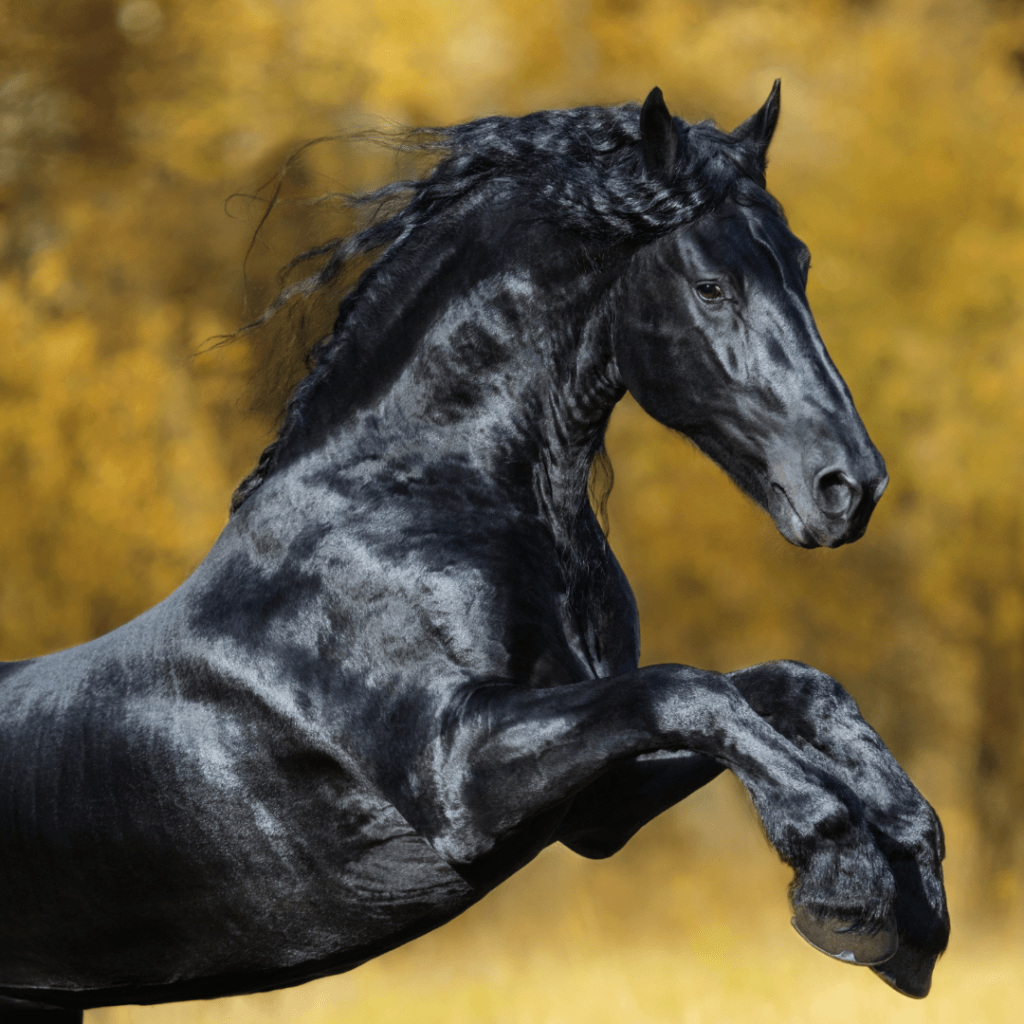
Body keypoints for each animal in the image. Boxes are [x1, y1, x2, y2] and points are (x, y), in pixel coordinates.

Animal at [0, 84, 949, 1022]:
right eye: (712, 285)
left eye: (801, 264)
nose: (849, 487)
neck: (420, 504)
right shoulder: (457, 774)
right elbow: (686, 690)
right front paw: (844, 882)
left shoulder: (595, 804)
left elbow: (782, 686)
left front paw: (915, 885)